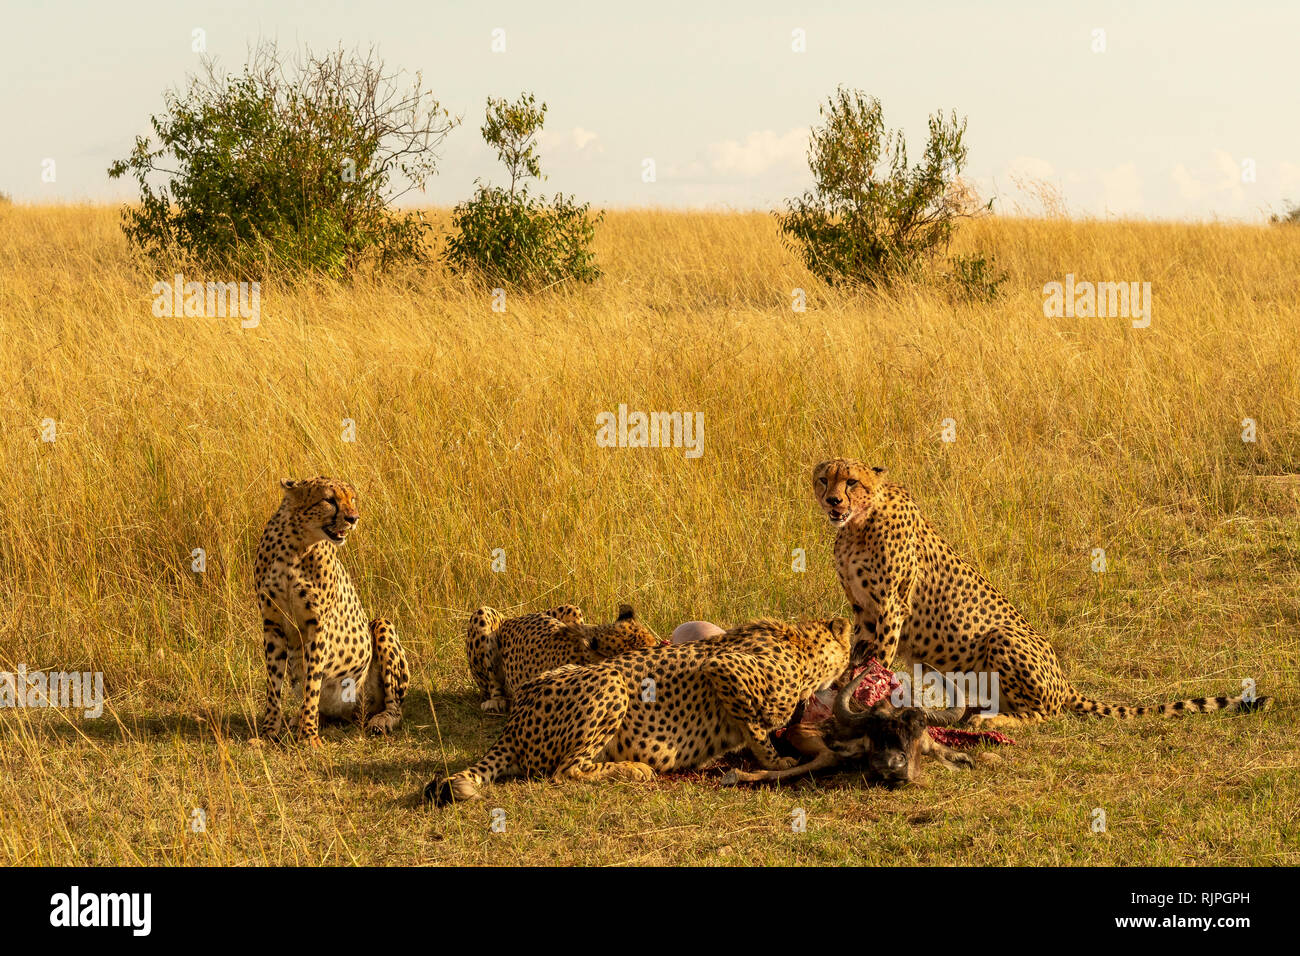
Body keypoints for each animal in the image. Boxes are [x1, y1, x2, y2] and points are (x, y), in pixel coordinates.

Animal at [254, 477, 410, 746]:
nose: (353, 518)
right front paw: (268, 733)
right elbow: (273, 685)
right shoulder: (272, 623)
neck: (297, 546)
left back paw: (380, 720)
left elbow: (312, 682)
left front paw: (308, 736)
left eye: (352, 499)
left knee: (394, 706)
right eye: (329, 500)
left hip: (382, 625)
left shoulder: (317, 625)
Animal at [425, 616, 853, 806]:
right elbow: (759, 729)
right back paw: (633, 769)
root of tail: (514, 723)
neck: (800, 640)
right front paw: (777, 760)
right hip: (610, 682)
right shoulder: (723, 668)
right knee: (565, 771)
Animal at [813, 457, 1273, 729]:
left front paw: (863, 702)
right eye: (823, 479)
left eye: (851, 481)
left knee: (1041, 715)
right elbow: (858, 658)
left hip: (1002, 639)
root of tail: (1064, 681)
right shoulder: (862, 609)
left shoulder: (890, 607)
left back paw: (991, 722)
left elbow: (879, 660)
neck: (856, 524)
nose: (833, 500)